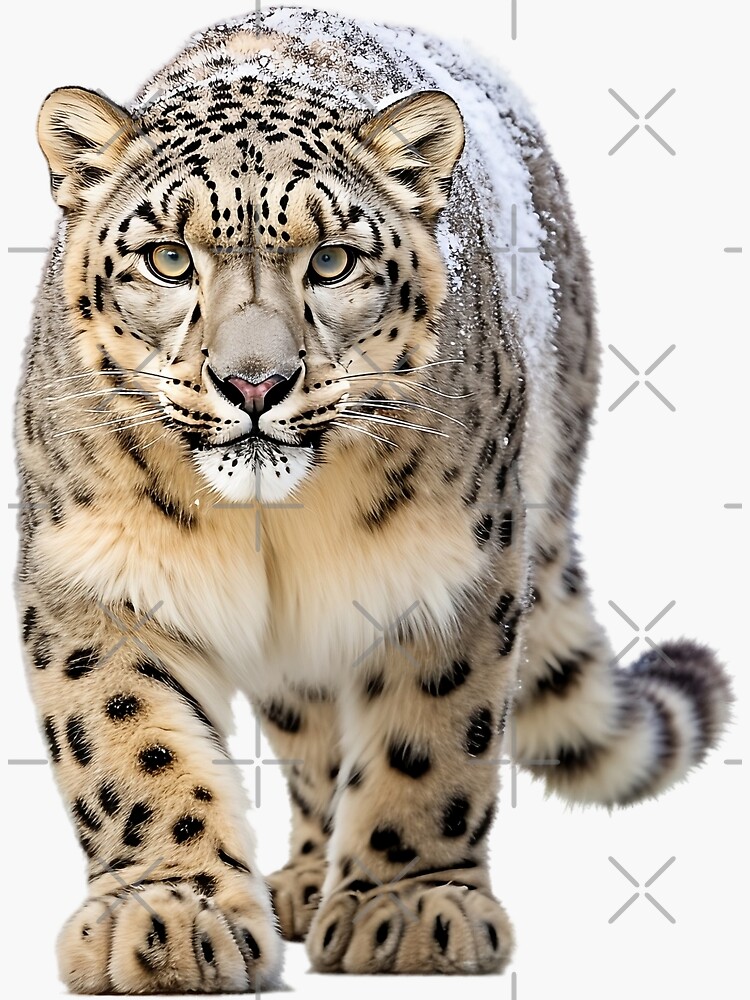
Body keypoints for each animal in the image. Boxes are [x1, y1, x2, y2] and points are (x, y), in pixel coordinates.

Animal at [15, 5, 733, 992]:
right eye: (166, 259)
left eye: (331, 261)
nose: (254, 383)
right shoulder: (96, 578)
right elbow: (132, 744)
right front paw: (167, 918)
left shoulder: (446, 568)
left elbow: (429, 737)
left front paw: (412, 909)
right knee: (311, 736)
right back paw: (301, 883)